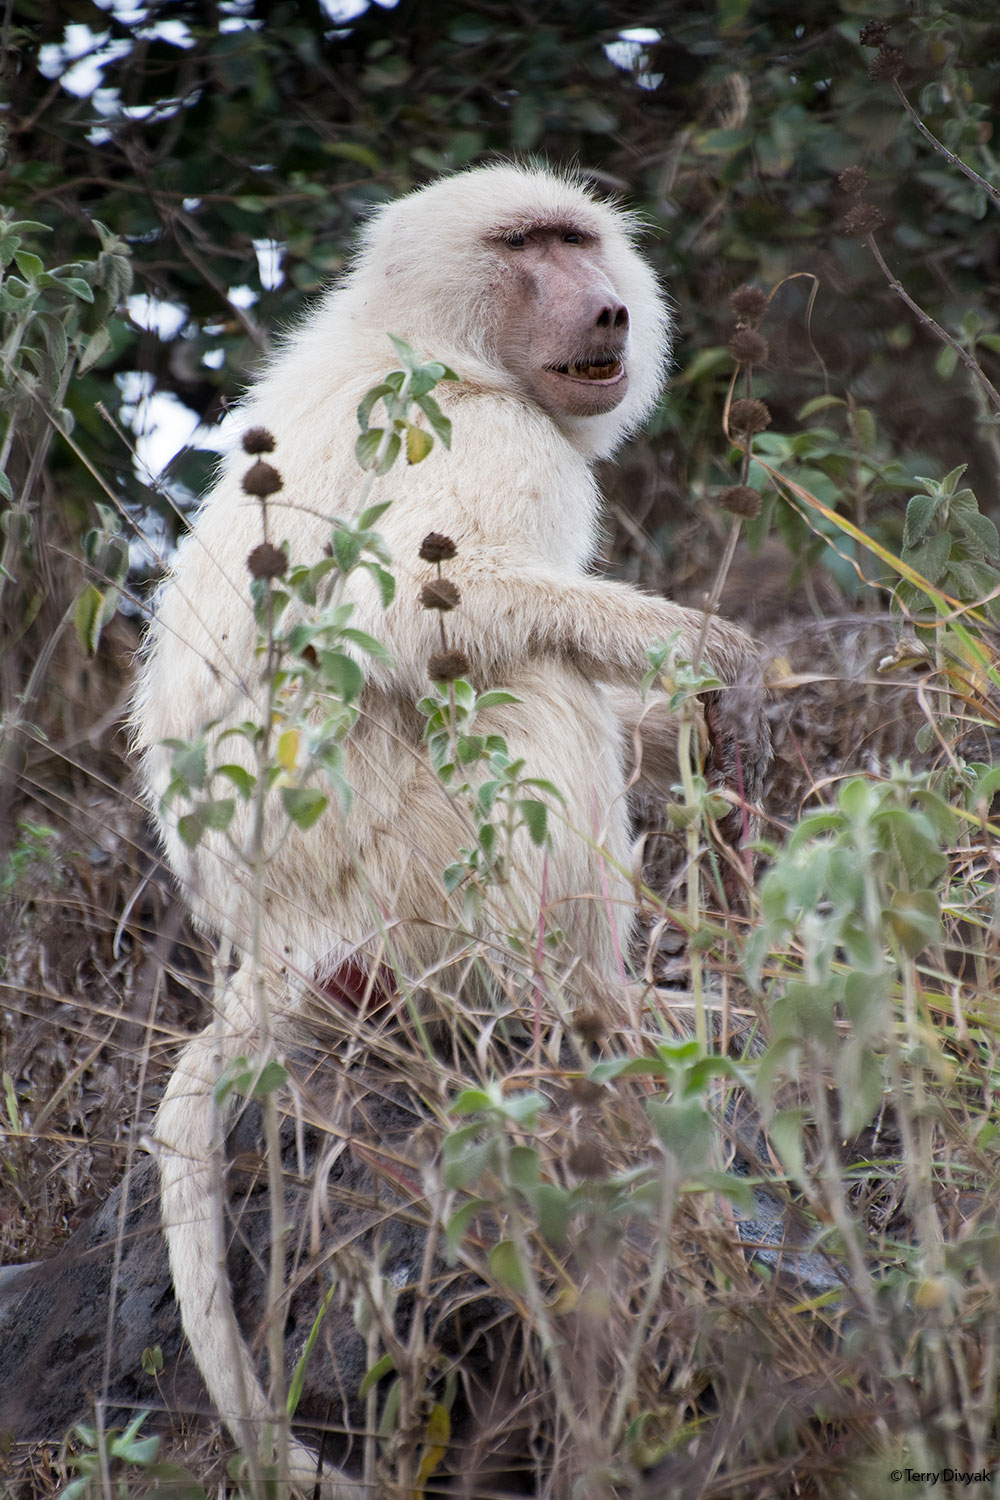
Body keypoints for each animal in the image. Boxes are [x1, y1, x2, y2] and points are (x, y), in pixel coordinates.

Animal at [132, 163, 769, 1493]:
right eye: (525, 246)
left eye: (575, 240)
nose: (606, 310)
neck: (431, 339)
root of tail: (274, 937)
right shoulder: (494, 439)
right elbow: (422, 609)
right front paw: (711, 659)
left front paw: (688, 729)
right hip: (418, 894)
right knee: (524, 672)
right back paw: (603, 1008)